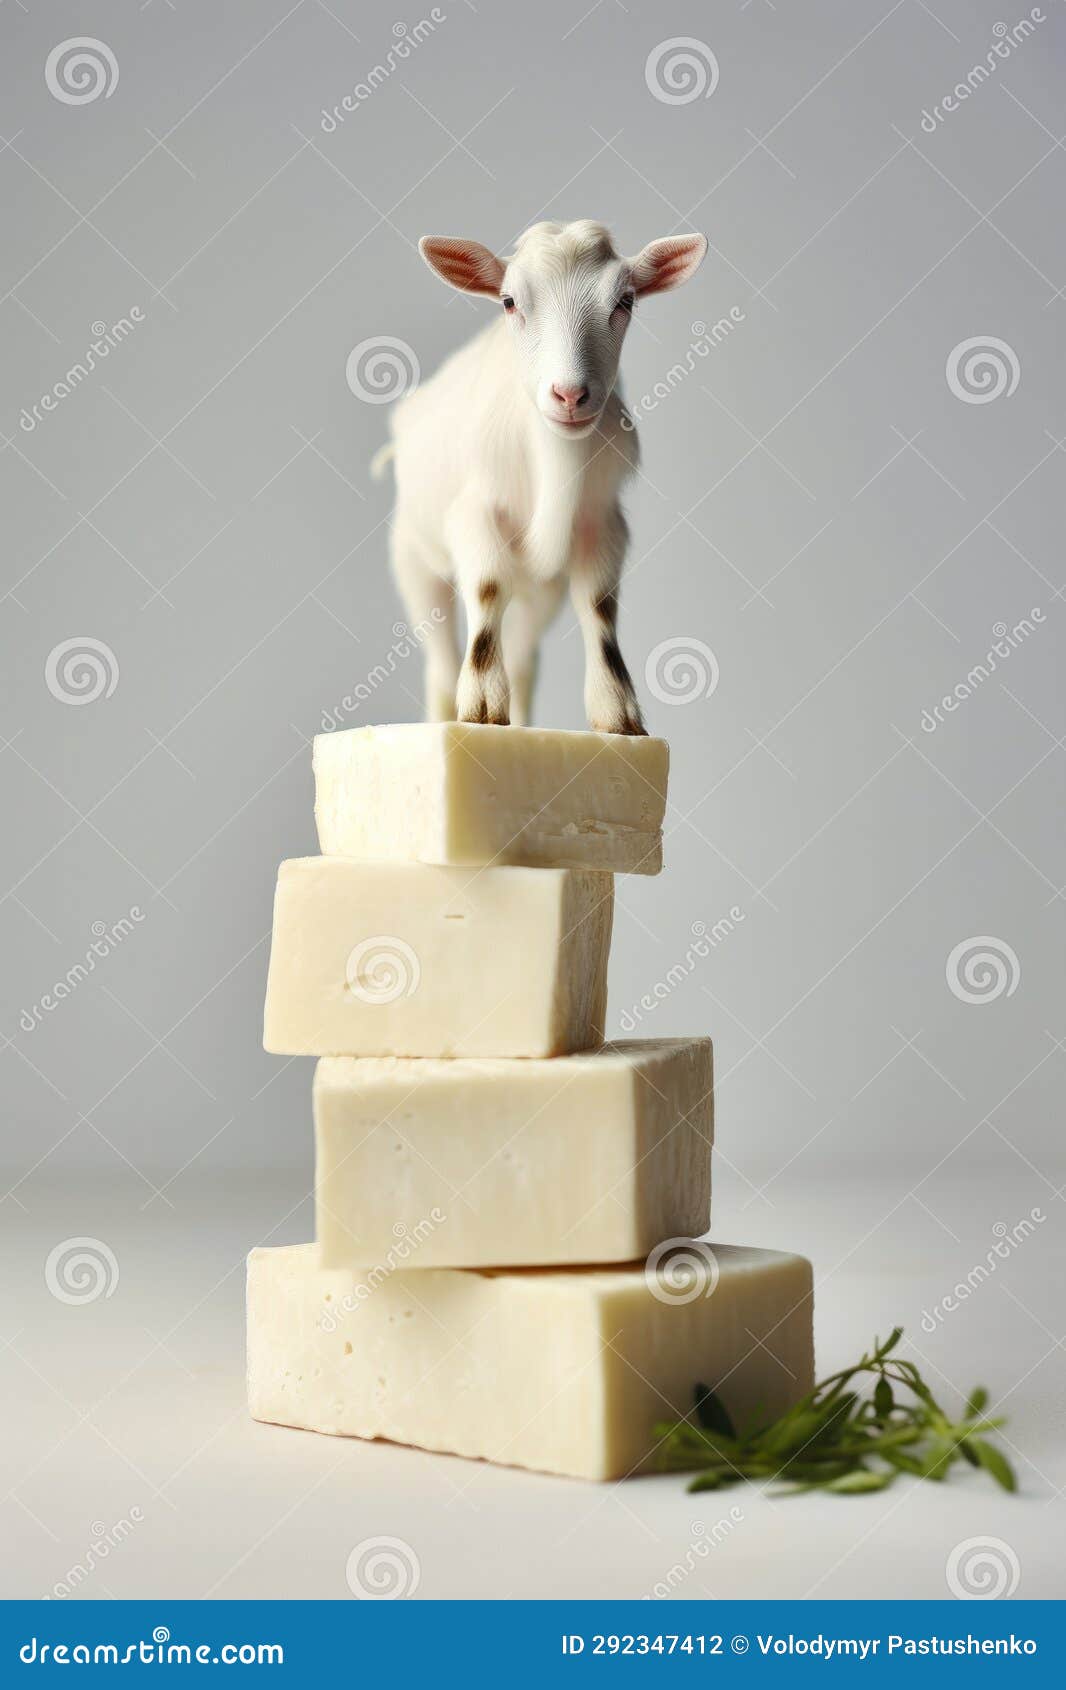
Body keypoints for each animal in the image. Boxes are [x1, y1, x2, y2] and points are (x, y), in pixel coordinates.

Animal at [377, 220, 706, 733]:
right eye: (509, 301)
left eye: (625, 301)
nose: (570, 394)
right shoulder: (474, 513)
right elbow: (488, 587)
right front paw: (481, 708)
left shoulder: (601, 519)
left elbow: (599, 604)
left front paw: (618, 716)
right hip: (413, 555)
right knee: (440, 656)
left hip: (540, 591)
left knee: (524, 657)